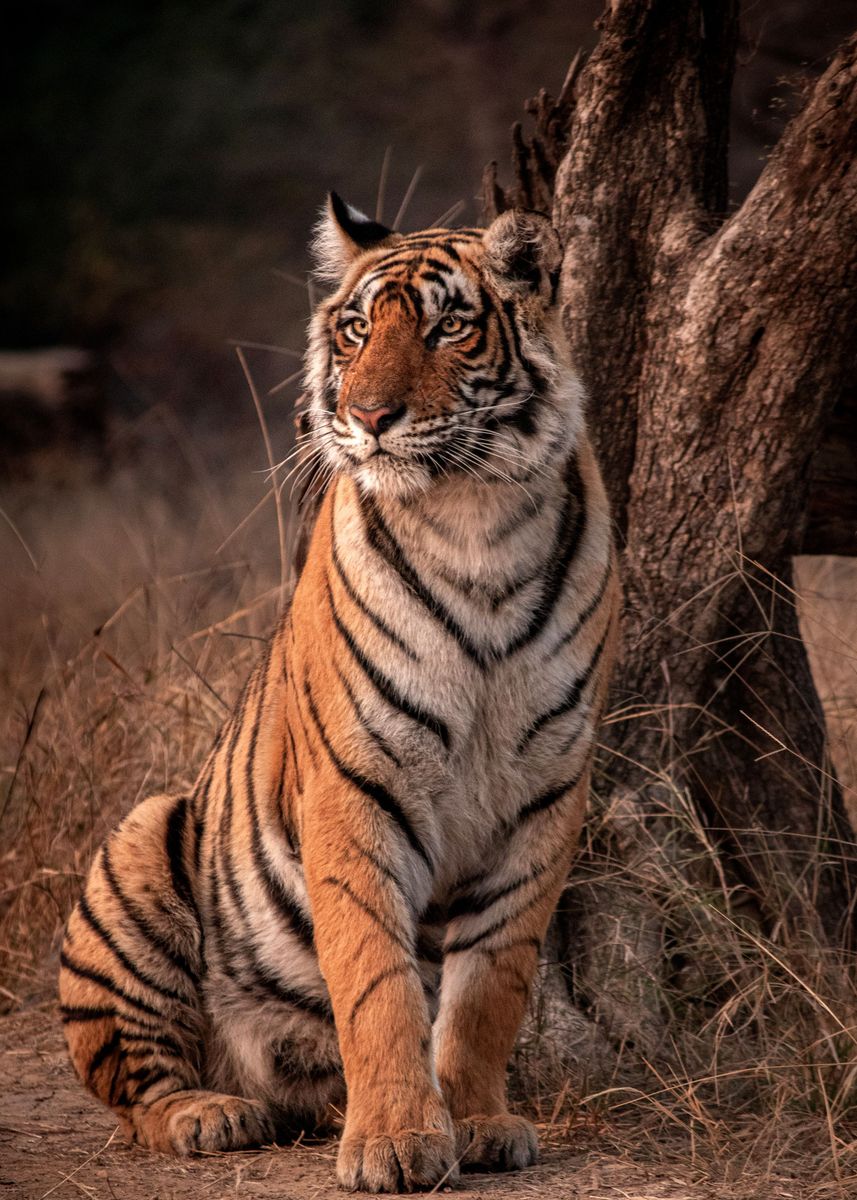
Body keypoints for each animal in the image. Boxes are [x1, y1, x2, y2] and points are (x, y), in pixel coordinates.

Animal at [59, 192, 619, 1193]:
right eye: (356, 330)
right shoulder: (358, 782)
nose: (369, 415)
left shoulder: (546, 793)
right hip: (139, 847)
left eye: (446, 327)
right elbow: (375, 980)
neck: (476, 520)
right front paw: (396, 1141)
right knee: (136, 1090)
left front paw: (477, 1121)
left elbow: (490, 986)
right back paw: (211, 1113)